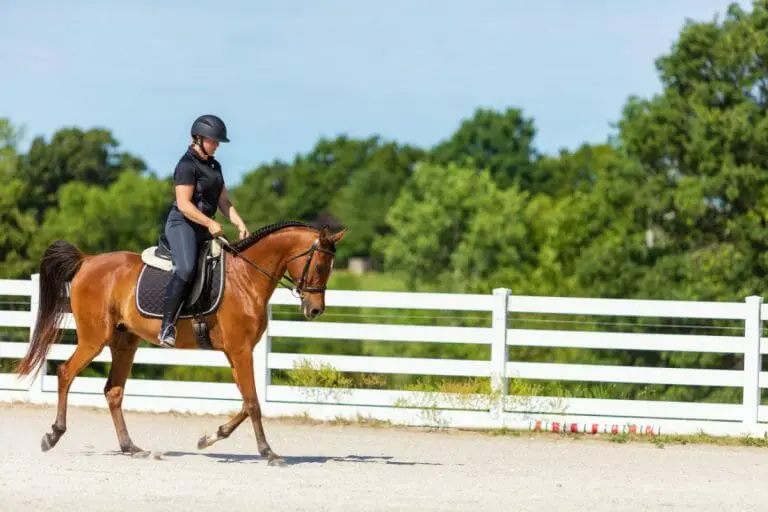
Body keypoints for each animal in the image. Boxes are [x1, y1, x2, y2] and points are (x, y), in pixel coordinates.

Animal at [14, 220, 346, 466]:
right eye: (319, 266)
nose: (315, 310)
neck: (246, 277)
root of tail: (87, 261)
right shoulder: (240, 351)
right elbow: (253, 402)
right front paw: (268, 452)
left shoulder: (236, 352)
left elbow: (246, 401)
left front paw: (210, 437)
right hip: (94, 338)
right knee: (66, 373)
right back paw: (53, 435)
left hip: (125, 342)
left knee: (113, 391)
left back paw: (130, 447)